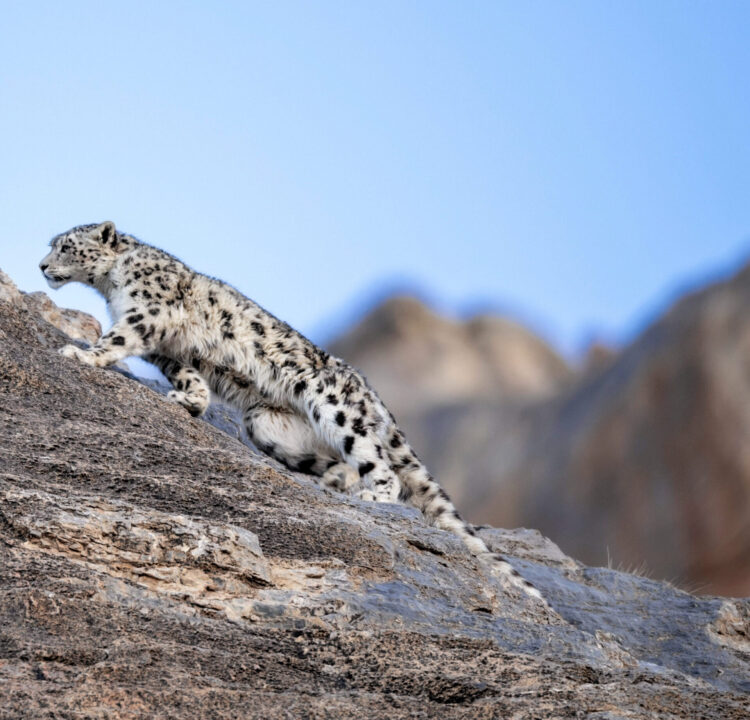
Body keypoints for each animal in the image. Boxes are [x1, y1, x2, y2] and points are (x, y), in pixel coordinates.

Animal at [39, 221, 544, 601]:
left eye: (64, 244)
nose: (41, 266)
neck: (113, 284)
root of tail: (372, 394)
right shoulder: (167, 351)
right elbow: (188, 375)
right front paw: (190, 399)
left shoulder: (147, 314)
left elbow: (116, 340)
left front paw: (80, 353)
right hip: (265, 425)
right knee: (335, 462)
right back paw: (332, 483)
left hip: (333, 406)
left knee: (384, 469)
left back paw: (371, 495)